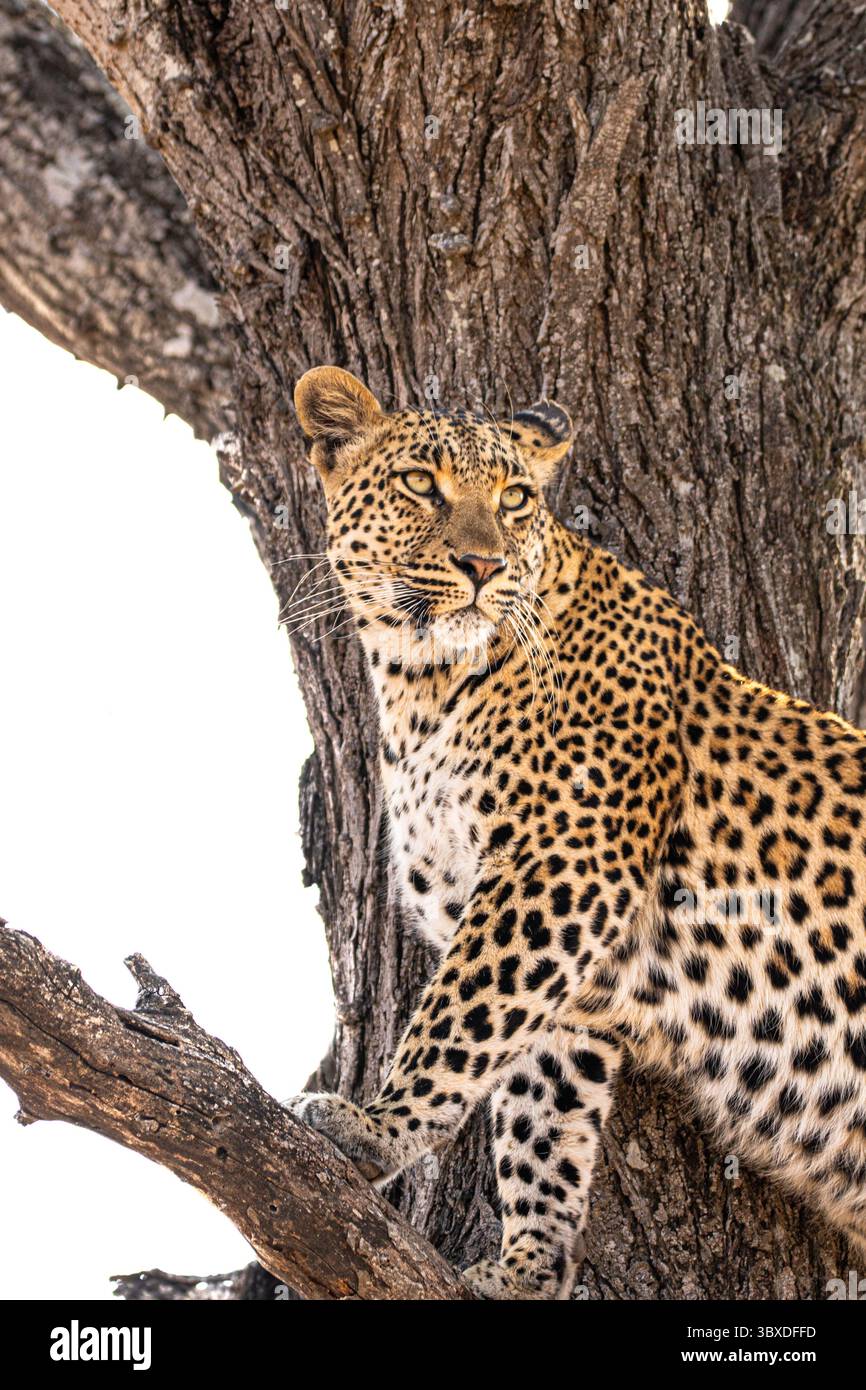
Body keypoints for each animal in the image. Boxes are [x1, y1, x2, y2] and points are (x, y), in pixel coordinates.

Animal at [287, 364, 866, 1300]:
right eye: (421, 484)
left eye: (515, 498)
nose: (482, 564)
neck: (421, 685)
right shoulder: (565, 969)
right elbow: (539, 1119)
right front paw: (530, 1268)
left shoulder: (557, 868)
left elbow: (454, 1019)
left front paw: (376, 1126)